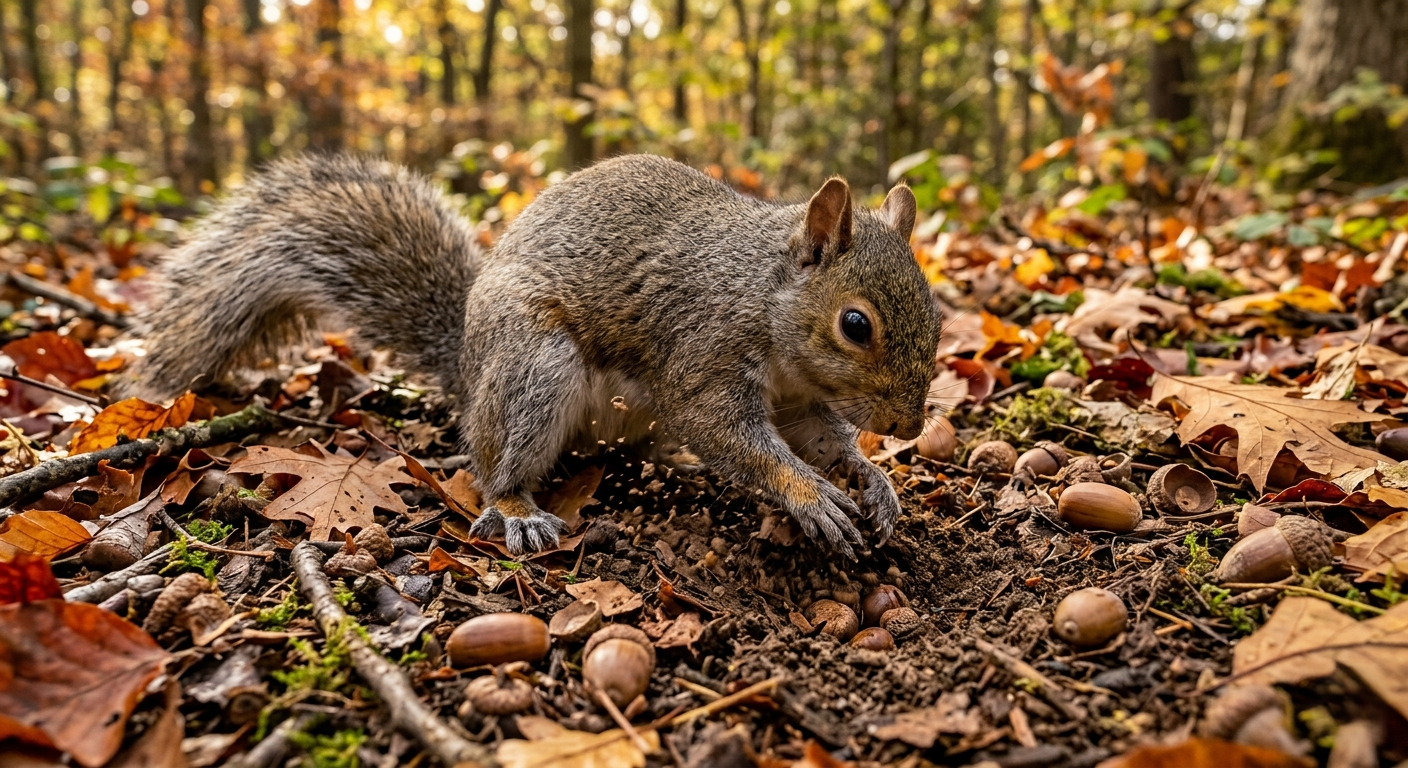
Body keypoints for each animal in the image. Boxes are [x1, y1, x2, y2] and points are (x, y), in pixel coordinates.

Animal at [128, 153, 943, 557]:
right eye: (855, 324)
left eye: (937, 312)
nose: (907, 426)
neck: (765, 298)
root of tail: (468, 368)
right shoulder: (704, 355)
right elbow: (725, 432)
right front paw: (811, 495)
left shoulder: (803, 400)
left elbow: (823, 441)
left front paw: (872, 480)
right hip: (533, 370)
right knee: (494, 469)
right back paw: (518, 509)